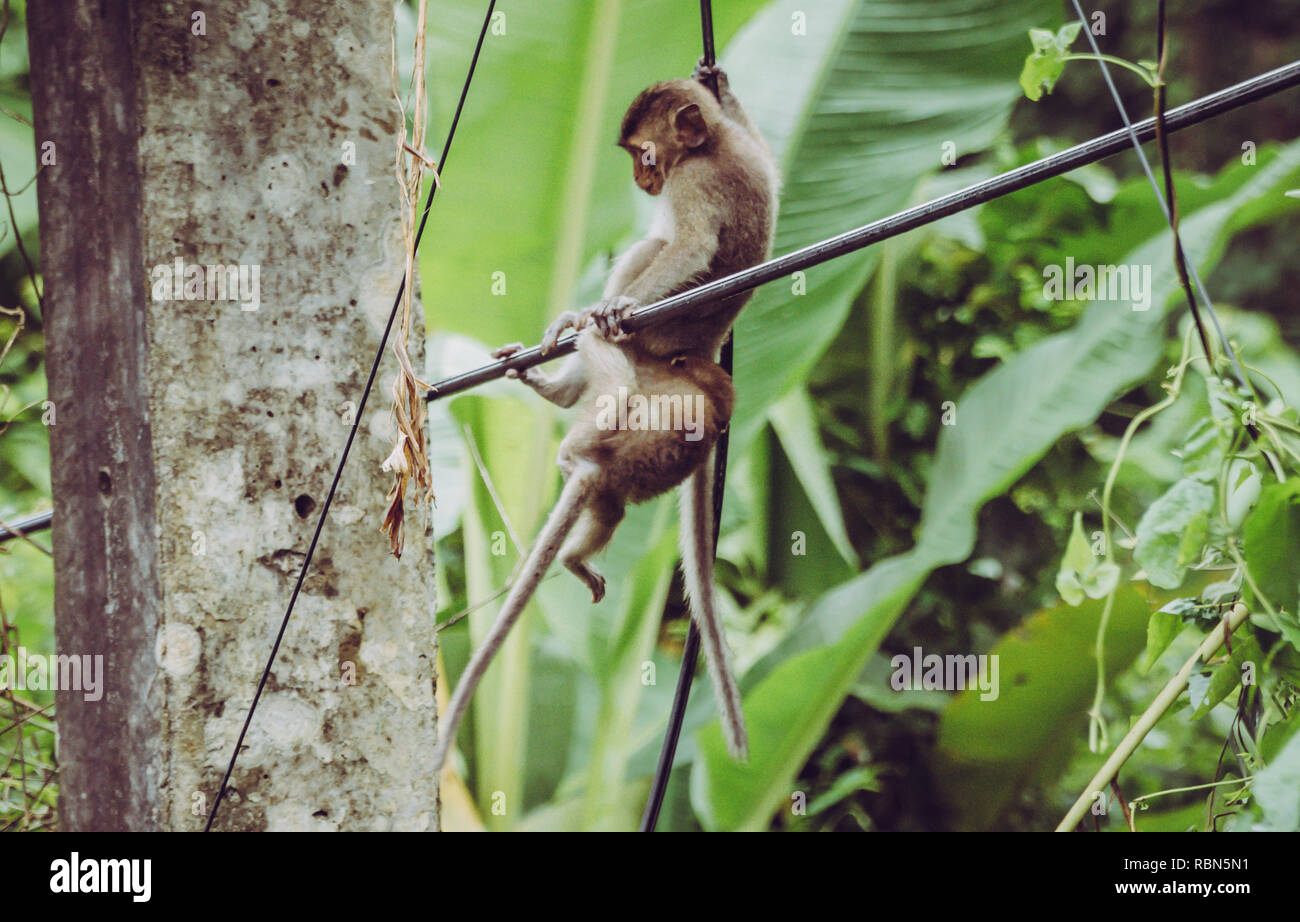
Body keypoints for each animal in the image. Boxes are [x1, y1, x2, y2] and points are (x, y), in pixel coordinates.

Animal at [430, 60, 778, 776]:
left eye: (646, 155)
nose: (644, 182)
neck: (710, 146)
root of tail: (703, 351)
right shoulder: (742, 148)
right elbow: (763, 151)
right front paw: (719, 81)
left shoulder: (695, 180)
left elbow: (690, 245)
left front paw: (607, 309)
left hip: (643, 365)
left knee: (652, 249)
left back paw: (584, 339)